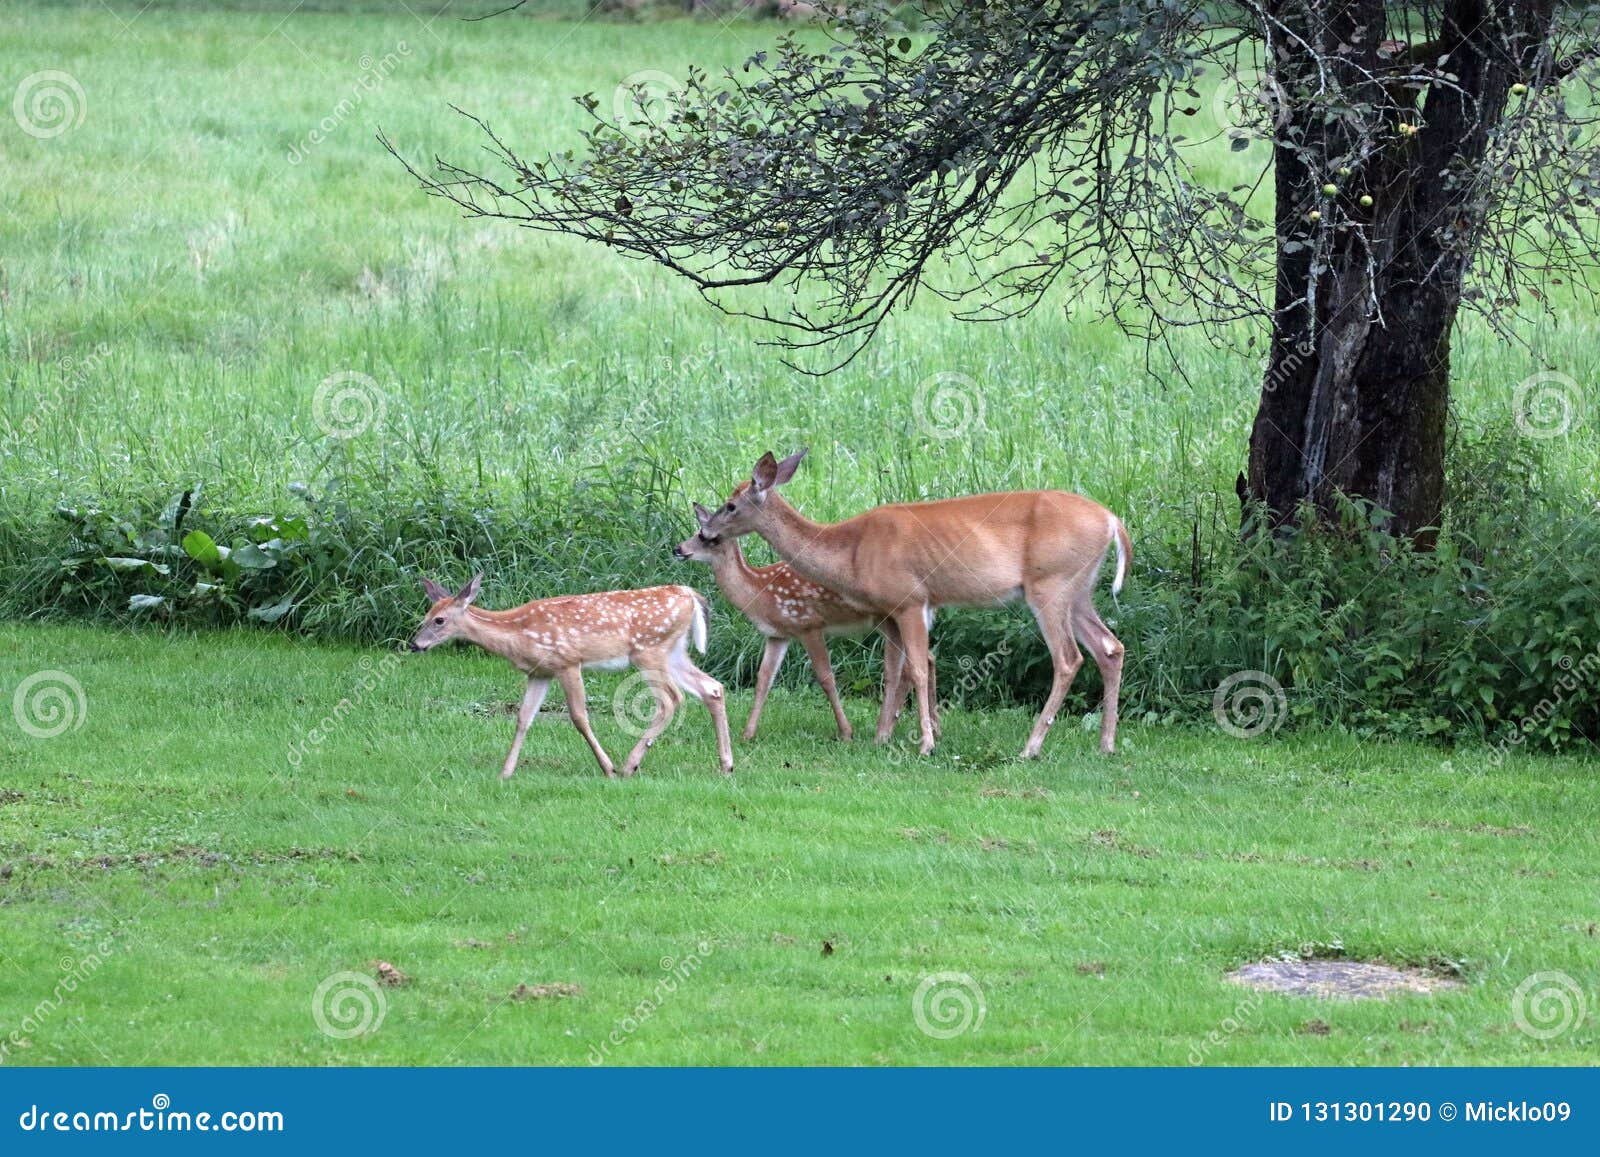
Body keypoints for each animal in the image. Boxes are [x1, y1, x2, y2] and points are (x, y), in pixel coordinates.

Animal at [407, 574, 733, 779]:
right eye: (425, 617)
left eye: (440, 620)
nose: (414, 644)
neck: (517, 633)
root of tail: (690, 595)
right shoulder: (540, 673)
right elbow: (523, 718)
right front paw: (505, 772)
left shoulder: (568, 661)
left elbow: (578, 717)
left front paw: (607, 768)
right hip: (673, 651)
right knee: (712, 688)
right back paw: (726, 766)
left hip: (649, 650)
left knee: (671, 699)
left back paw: (629, 766)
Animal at [673, 502, 938, 742]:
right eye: (698, 531)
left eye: (708, 537)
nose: (678, 548)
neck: (761, 593)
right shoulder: (778, 634)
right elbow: (764, 679)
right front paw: (747, 734)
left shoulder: (808, 624)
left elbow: (826, 677)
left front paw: (846, 732)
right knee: (928, 657)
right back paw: (933, 727)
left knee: (915, 662)